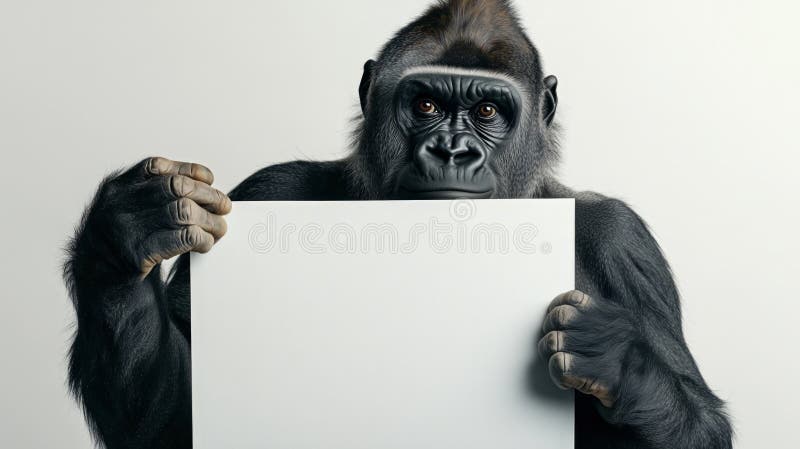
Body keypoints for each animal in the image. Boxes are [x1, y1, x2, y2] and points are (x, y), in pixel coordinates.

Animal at [64, 1, 732, 448]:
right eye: (427, 104)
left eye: (487, 111)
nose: (452, 151)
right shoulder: (269, 188)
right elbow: (172, 424)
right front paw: (123, 239)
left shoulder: (621, 242)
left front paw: (617, 360)